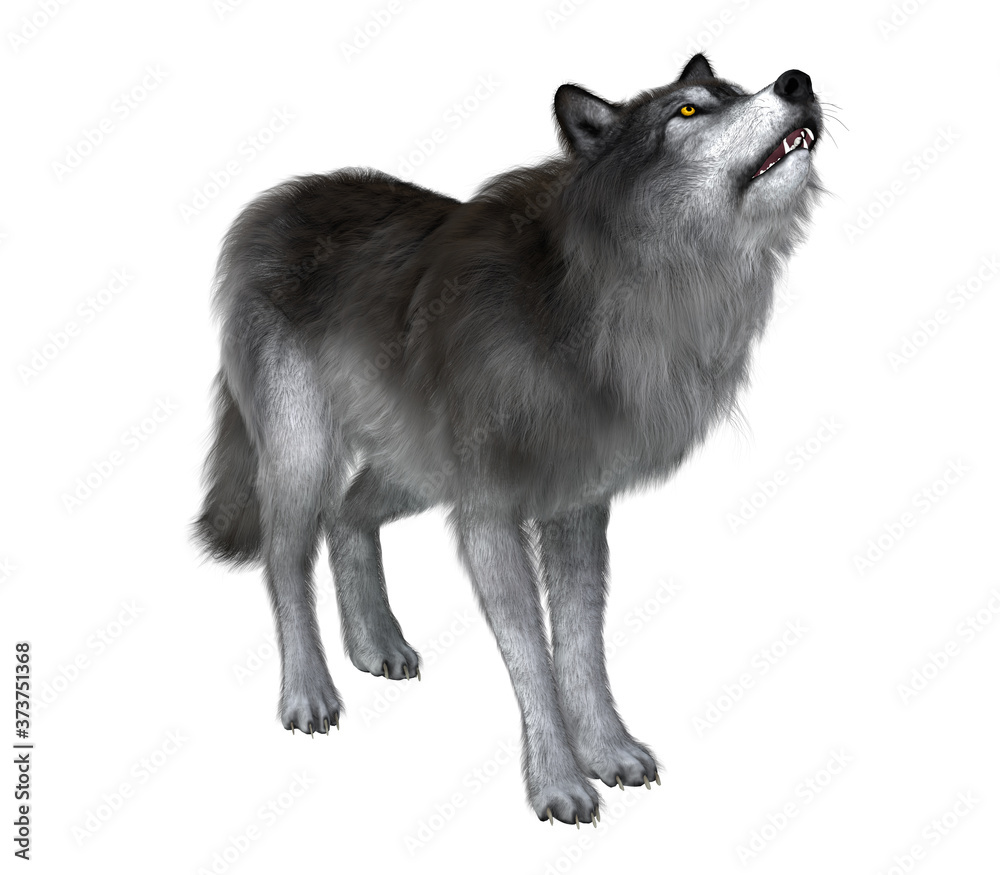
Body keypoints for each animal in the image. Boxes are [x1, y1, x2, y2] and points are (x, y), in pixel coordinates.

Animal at [195, 53, 824, 826]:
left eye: (736, 91)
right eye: (688, 111)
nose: (797, 81)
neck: (605, 299)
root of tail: (274, 203)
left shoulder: (576, 509)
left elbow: (581, 644)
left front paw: (609, 751)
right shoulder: (489, 514)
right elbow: (530, 653)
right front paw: (558, 784)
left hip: (415, 470)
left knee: (346, 514)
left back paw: (376, 644)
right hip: (305, 453)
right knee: (286, 555)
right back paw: (308, 692)